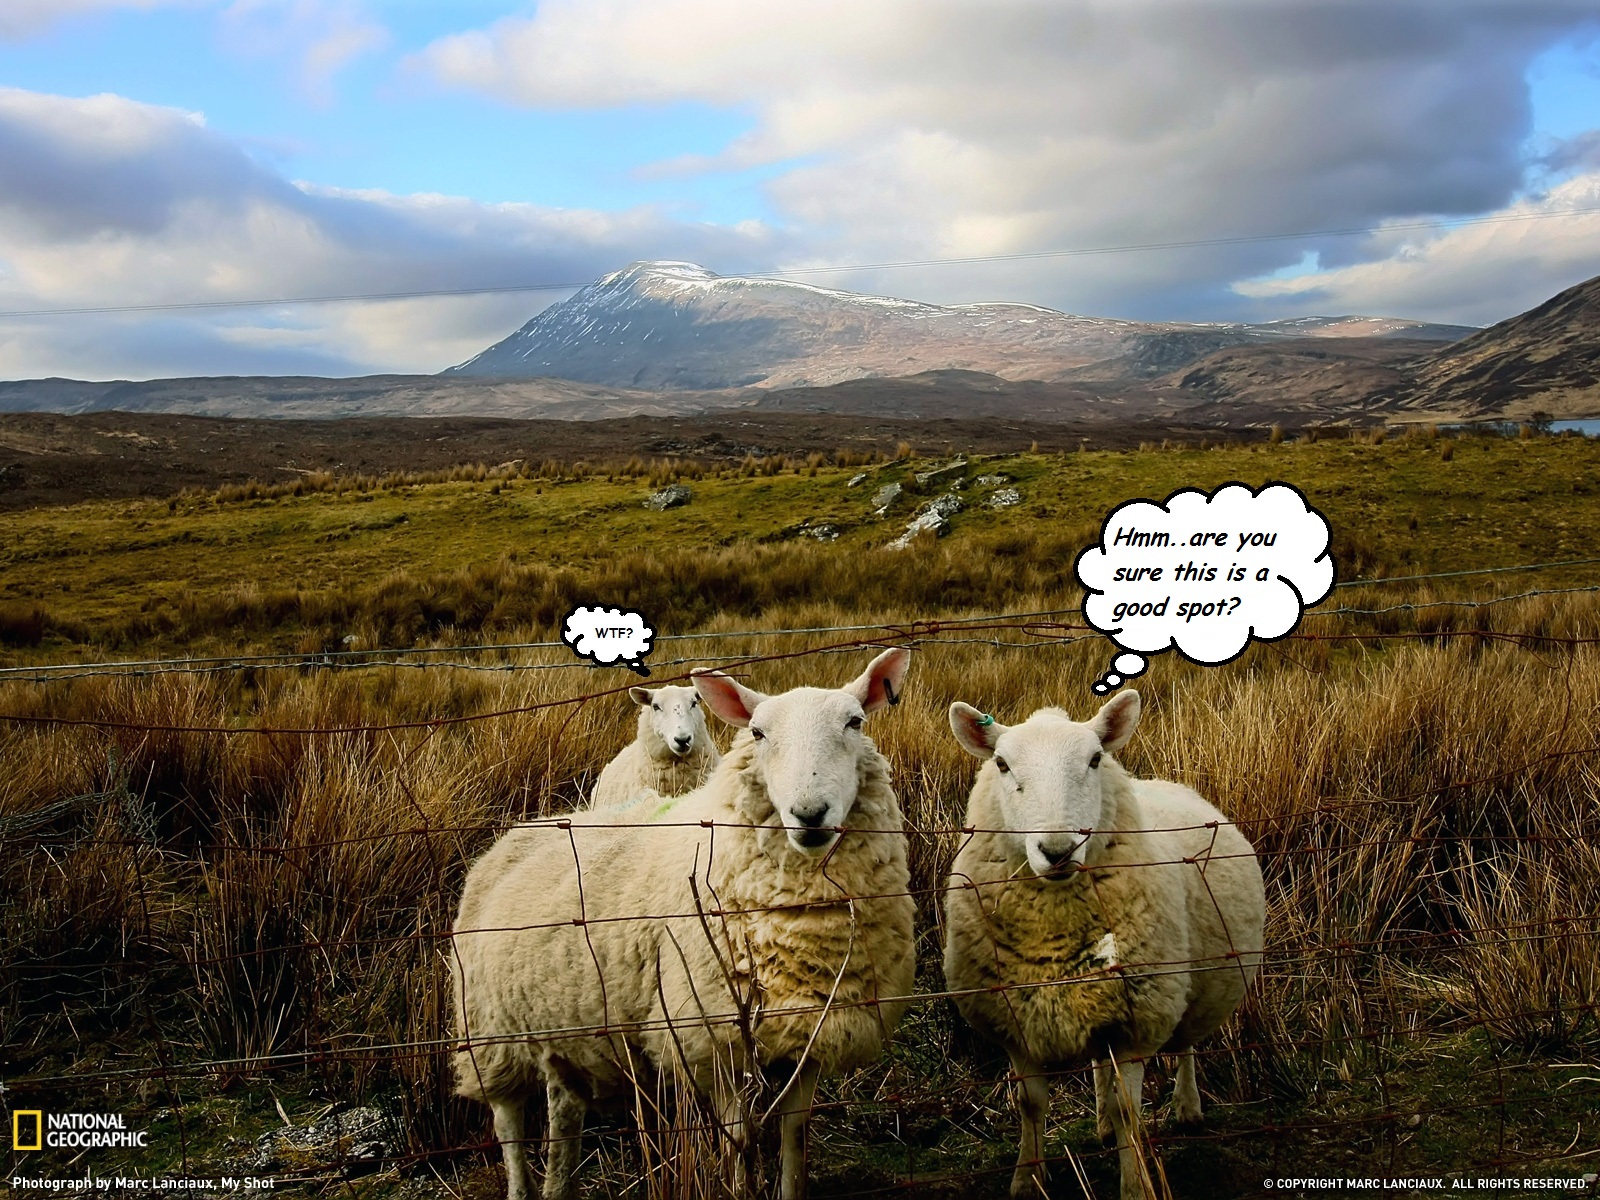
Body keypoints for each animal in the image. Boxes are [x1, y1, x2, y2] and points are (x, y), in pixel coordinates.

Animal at [941, 690, 1265, 1200]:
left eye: (1095, 759)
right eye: (1002, 764)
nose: (1058, 851)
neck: (1054, 932)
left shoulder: (1137, 1021)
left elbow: (1129, 1110)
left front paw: (1135, 1185)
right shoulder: (1016, 1024)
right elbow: (1030, 1105)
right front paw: (1027, 1178)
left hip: (1191, 989)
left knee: (1187, 1046)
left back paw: (1187, 1108)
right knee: (1099, 1067)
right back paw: (1101, 1127)